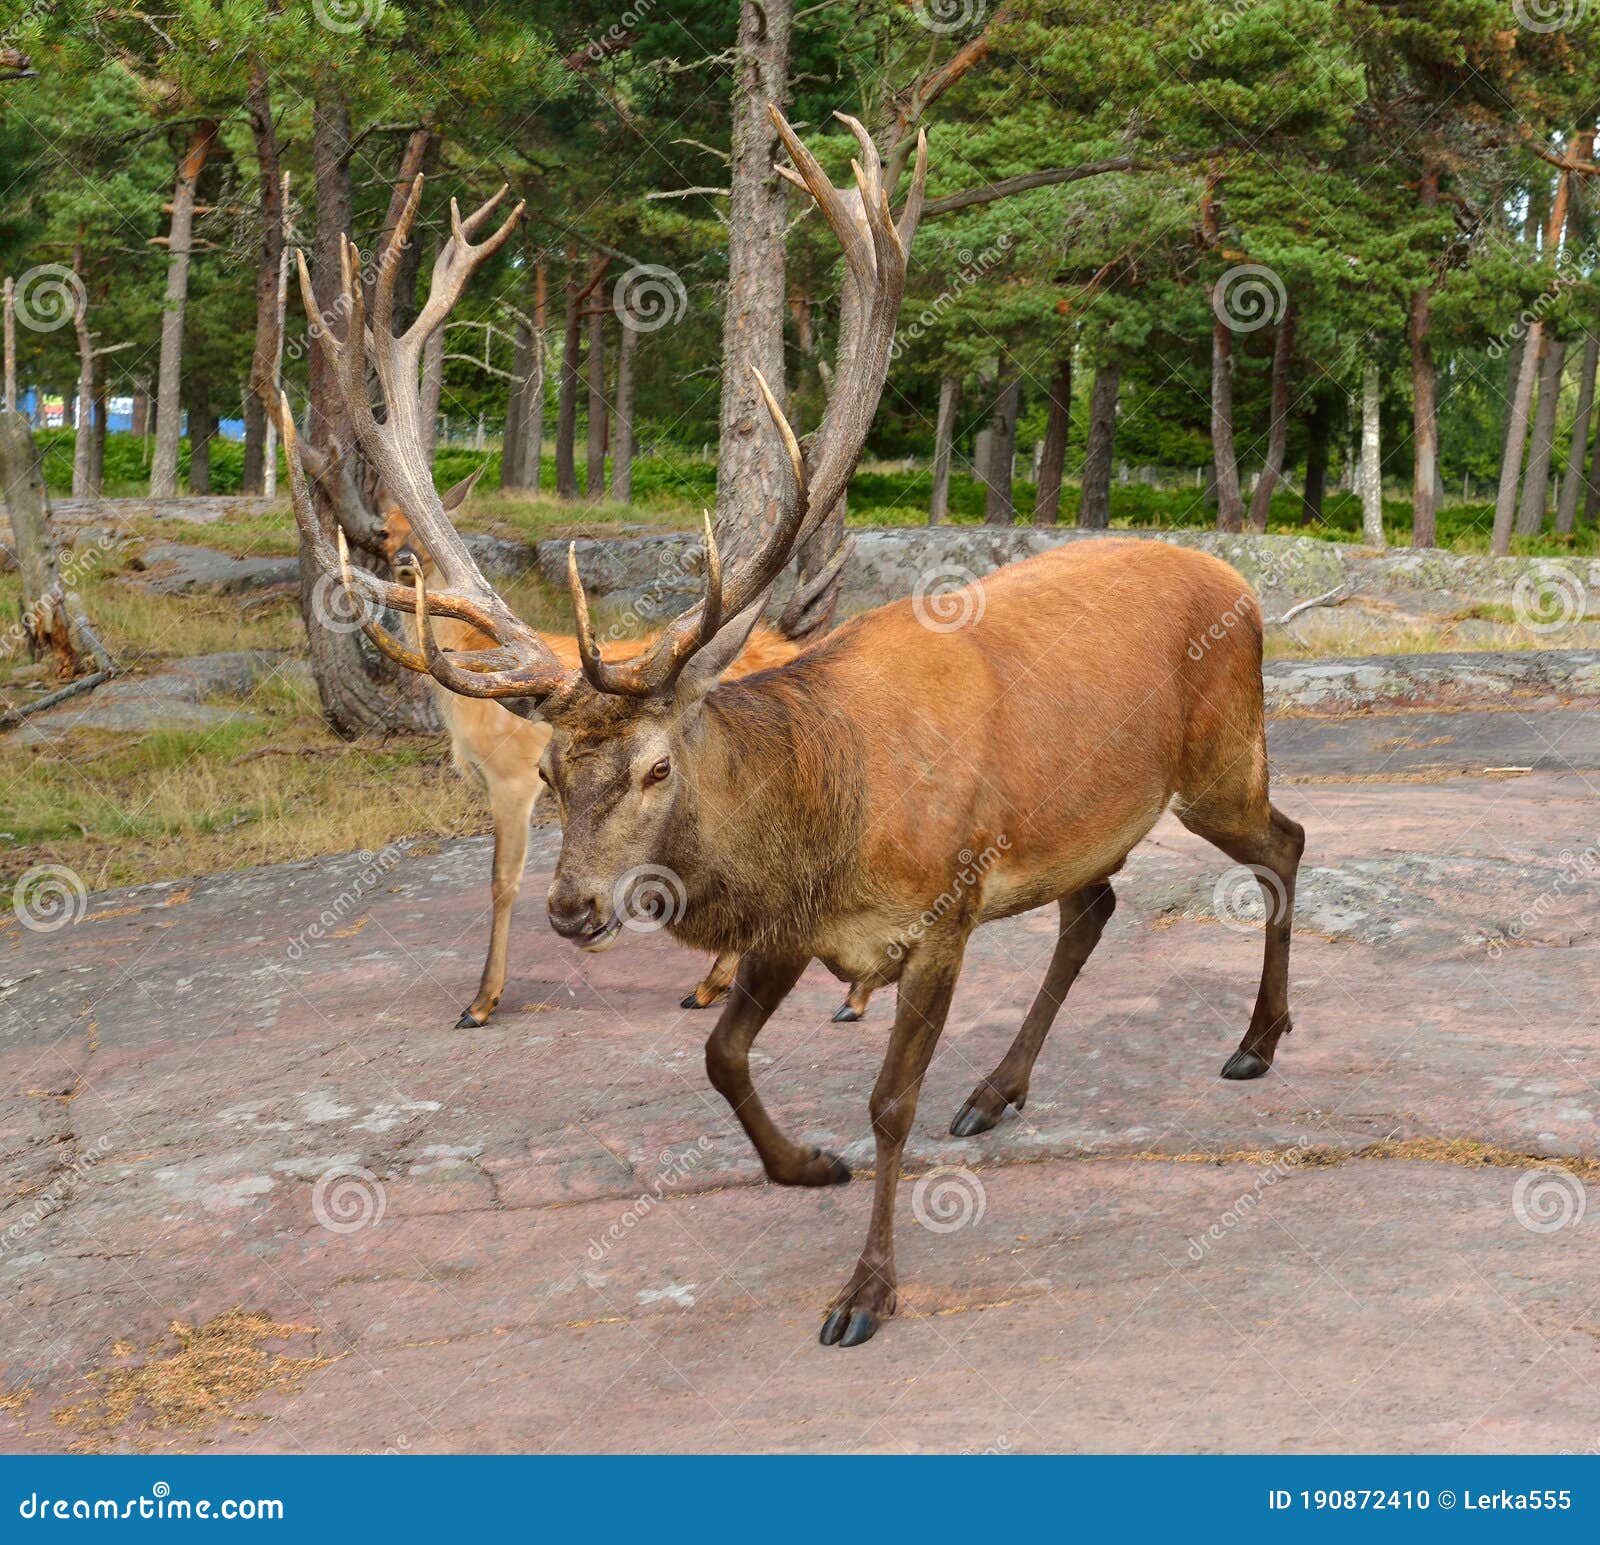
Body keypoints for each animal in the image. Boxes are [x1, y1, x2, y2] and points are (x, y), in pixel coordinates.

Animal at [372, 501, 875, 1027]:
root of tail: (795, 647)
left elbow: (502, 881)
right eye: (382, 530)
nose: (404, 561)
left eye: (413, 533)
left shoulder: (509, 778)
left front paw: (481, 1002)